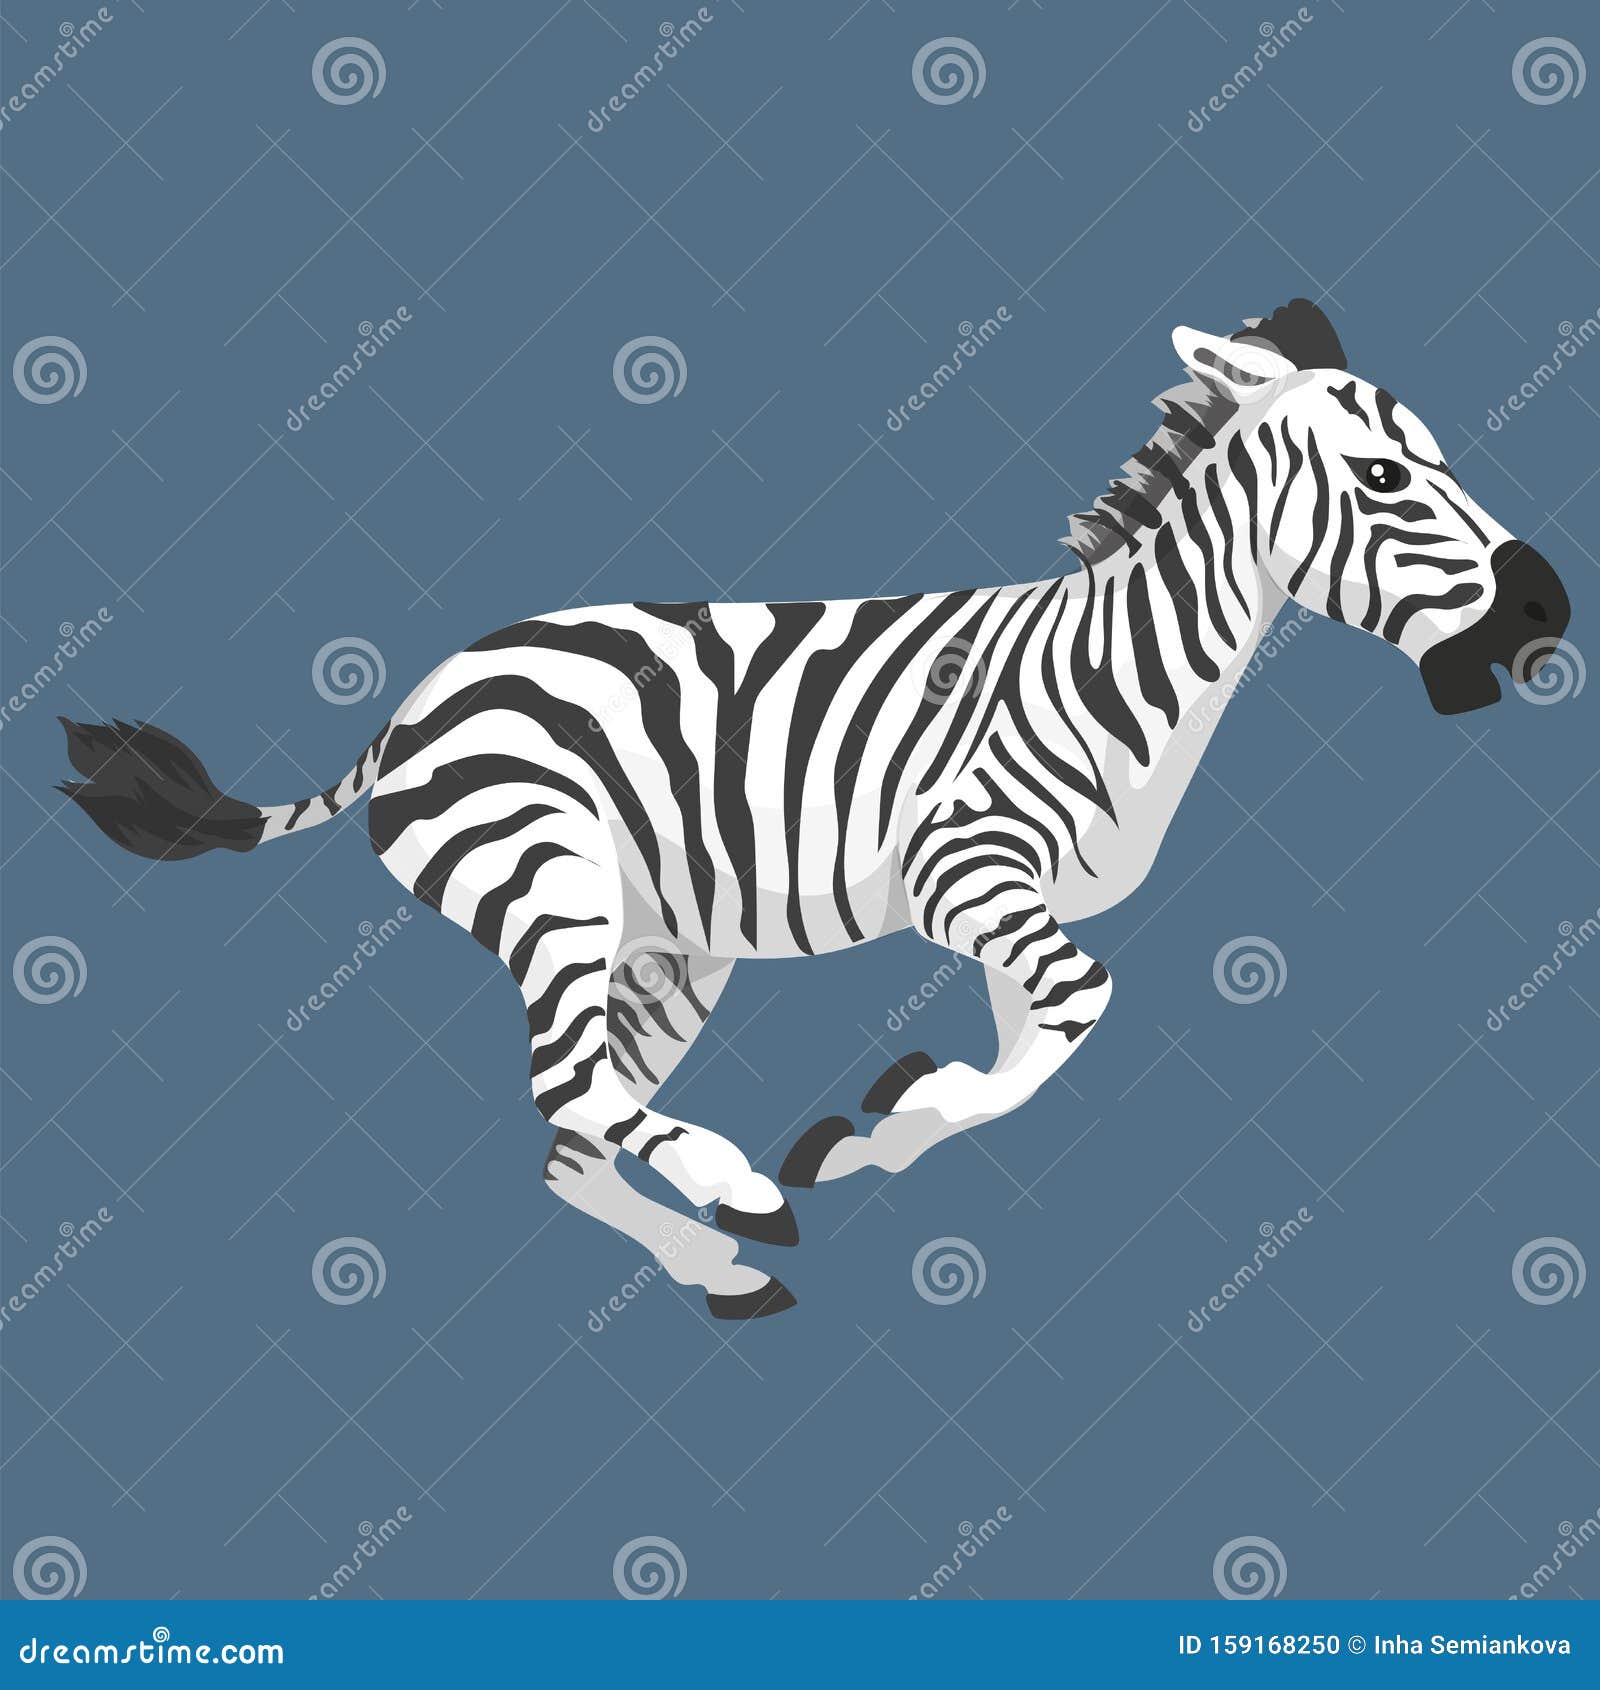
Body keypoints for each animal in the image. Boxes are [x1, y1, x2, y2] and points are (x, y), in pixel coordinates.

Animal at [60, 298, 1569, 1321]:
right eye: (1385, 477)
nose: (1547, 609)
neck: (1114, 668)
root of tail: (412, 707)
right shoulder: (966, 866)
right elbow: (1080, 1003)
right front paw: (869, 1127)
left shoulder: (1004, 904)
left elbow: (1031, 1042)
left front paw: (880, 1127)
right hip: (551, 882)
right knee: (568, 1086)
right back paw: (734, 1191)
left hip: (663, 947)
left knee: (572, 1135)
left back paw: (714, 1261)